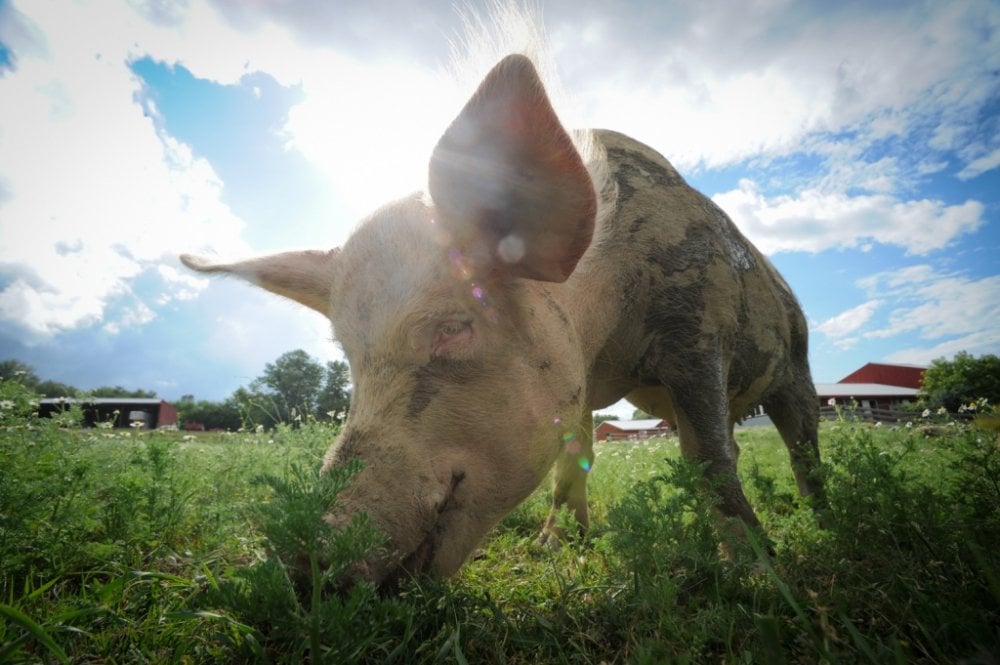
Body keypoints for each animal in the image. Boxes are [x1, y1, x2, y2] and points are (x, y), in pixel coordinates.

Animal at [181, 52, 825, 587]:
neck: (607, 346)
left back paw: (823, 521)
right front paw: (553, 546)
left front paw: (763, 578)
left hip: (797, 362)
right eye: (349, 355)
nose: (302, 561)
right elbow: (574, 457)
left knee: (797, 443)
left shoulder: (696, 332)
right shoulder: (577, 379)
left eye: (452, 327)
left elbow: (708, 460)